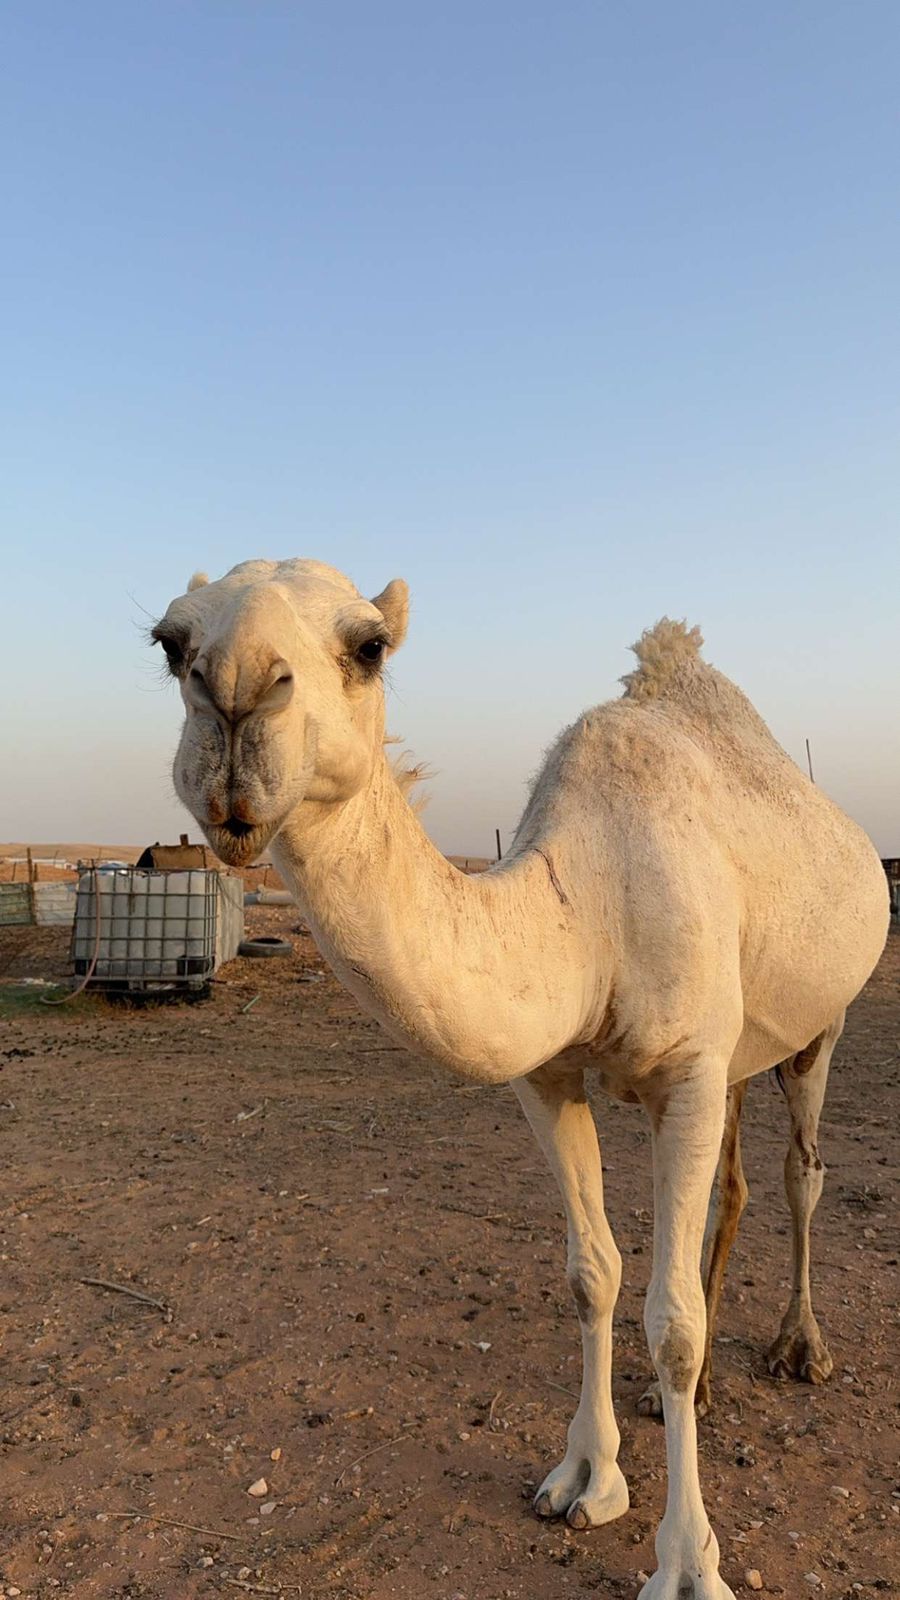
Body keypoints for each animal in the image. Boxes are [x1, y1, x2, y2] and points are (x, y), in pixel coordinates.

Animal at [152, 559, 889, 1600]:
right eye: (171, 643)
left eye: (369, 645)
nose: (236, 698)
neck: (592, 912)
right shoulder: (550, 1079)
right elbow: (593, 1274)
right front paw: (586, 1477)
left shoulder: (688, 1072)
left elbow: (673, 1324)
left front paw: (687, 1562)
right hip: (741, 1054)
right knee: (732, 1188)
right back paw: (700, 1391)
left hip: (822, 1022)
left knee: (802, 1173)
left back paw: (799, 1347)